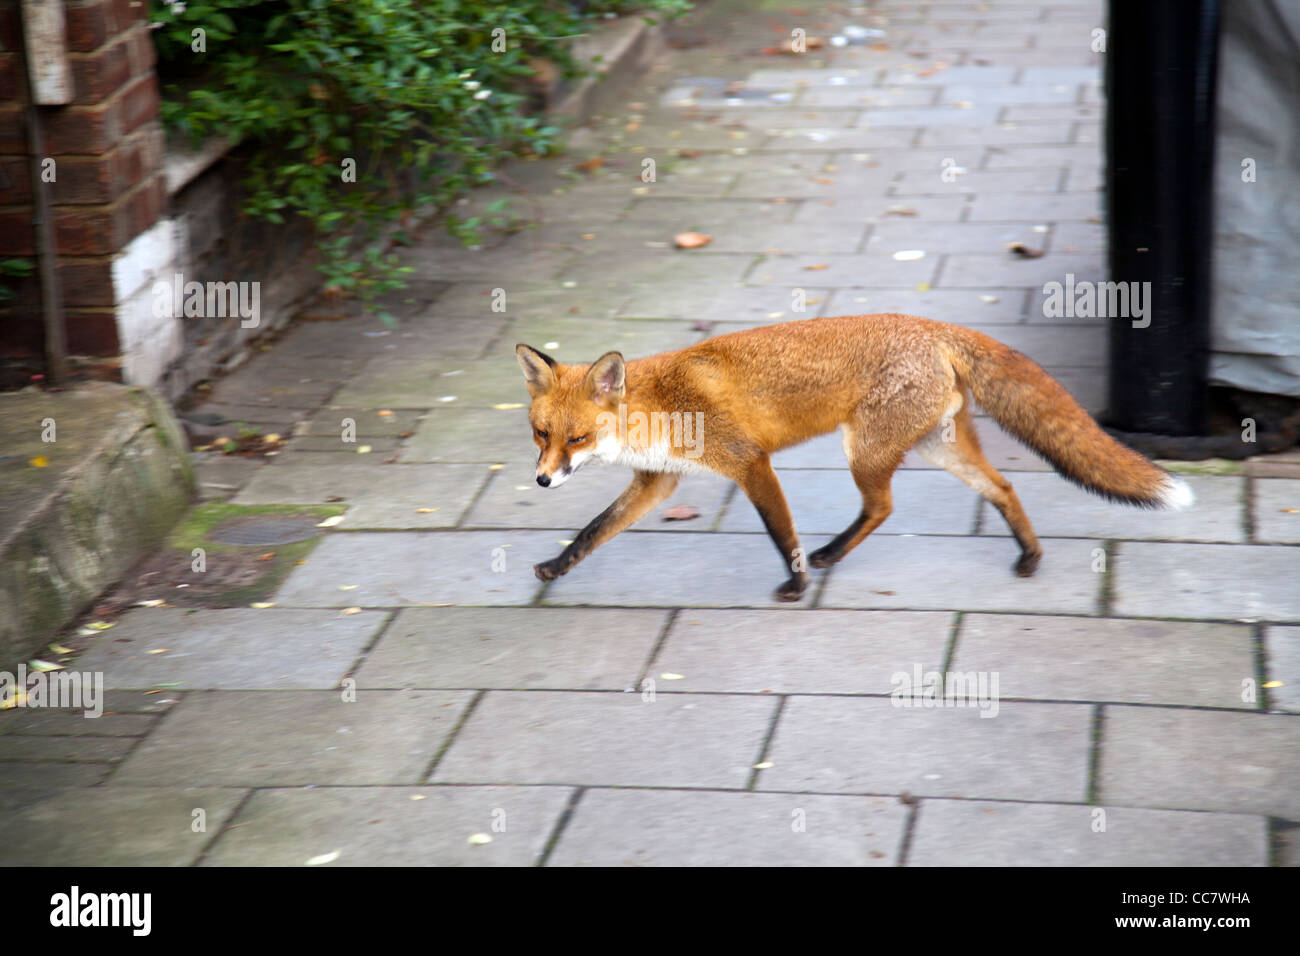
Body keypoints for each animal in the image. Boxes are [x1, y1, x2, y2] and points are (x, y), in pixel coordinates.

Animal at [515, 314, 1193, 602]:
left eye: (577, 439)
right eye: (539, 434)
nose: (543, 481)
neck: (661, 405)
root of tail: (933, 324)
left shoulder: (751, 463)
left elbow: (781, 533)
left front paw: (795, 584)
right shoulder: (657, 483)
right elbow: (593, 530)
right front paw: (554, 567)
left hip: (863, 451)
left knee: (883, 507)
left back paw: (830, 556)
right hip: (940, 448)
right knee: (1002, 487)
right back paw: (1028, 556)